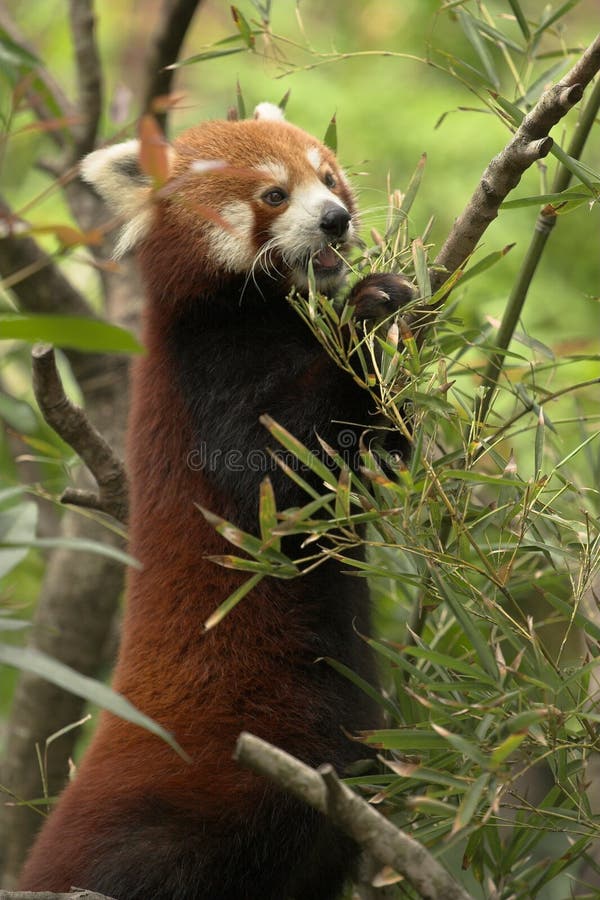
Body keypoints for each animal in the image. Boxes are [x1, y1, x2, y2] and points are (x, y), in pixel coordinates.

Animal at [19, 102, 413, 900]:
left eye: (328, 177)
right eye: (273, 195)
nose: (335, 220)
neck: (260, 310)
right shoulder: (209, 372)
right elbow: (280, 478)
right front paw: (370, 310)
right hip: (200, 786)